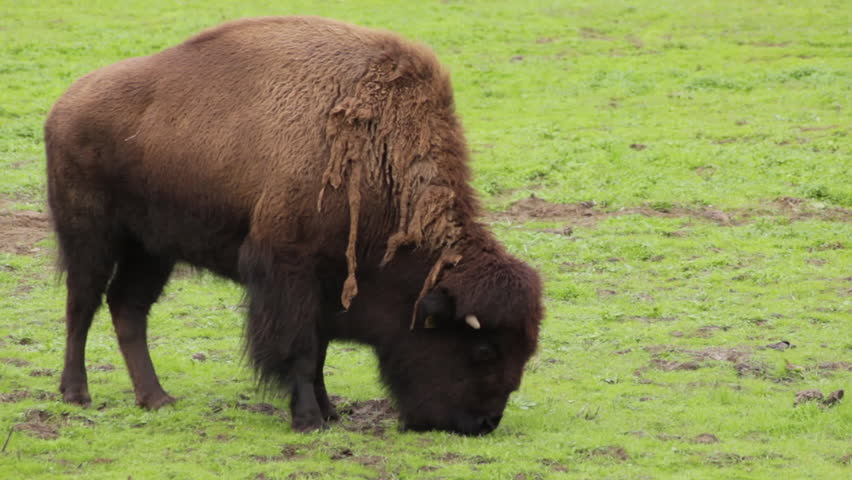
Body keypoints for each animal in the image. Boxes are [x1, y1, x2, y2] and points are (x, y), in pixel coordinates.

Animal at [45, 16, 543, 435]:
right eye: (483, 349)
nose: (485, 423)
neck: (379, 151)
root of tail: (63, 107)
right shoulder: (289, 270)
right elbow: (301, 352)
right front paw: (309, 420)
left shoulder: (326, 286)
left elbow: (318, 352)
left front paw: (329, 411)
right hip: (90, 236)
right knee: (82, 305)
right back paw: (77, 394)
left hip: (152, 249)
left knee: (128, 307)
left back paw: (156, 398)